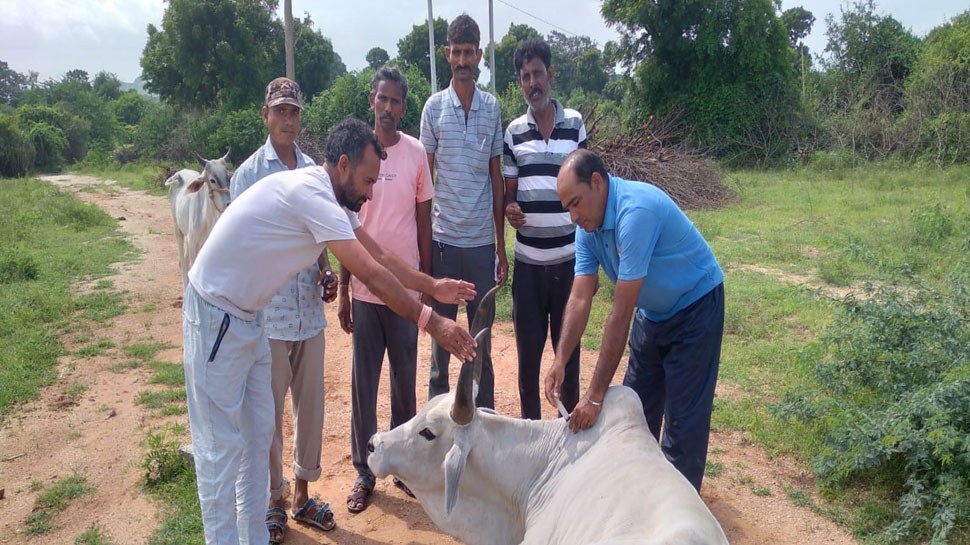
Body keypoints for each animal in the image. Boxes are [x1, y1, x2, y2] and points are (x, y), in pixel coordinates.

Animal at [164, 150, 232, 287]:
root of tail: (179, 174)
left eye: (228, 178)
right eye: (212, 180)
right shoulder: (192, 240)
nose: (228, 203)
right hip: (178, 230)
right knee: (182, 262)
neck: (207, 218)